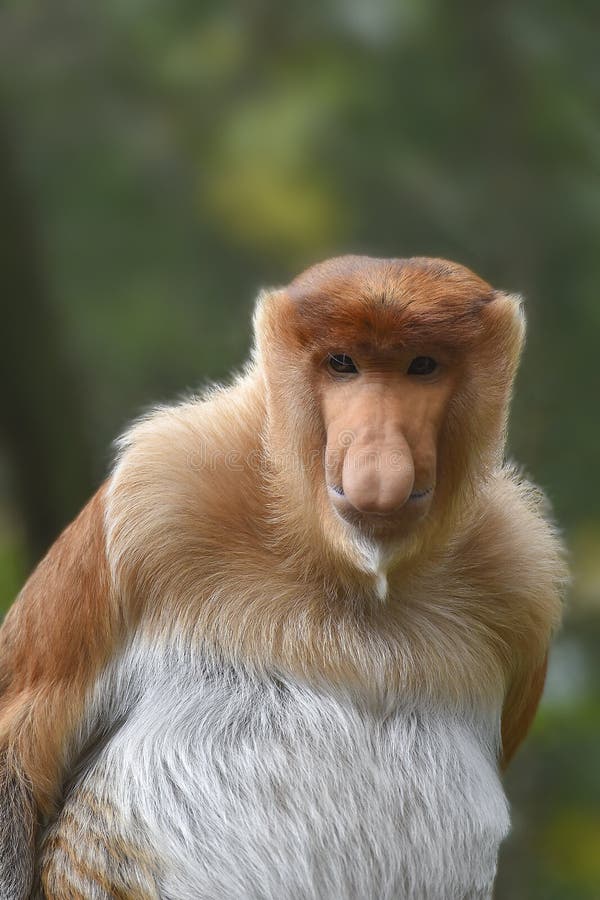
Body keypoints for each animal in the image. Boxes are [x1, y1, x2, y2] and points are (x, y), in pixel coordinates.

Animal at [0, 255, 565, 900]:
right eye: (343, 363)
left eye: (422, 365)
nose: (378, 460)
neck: (352, 571)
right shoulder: (155, 492)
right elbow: (15, 763)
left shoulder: (523, 569)